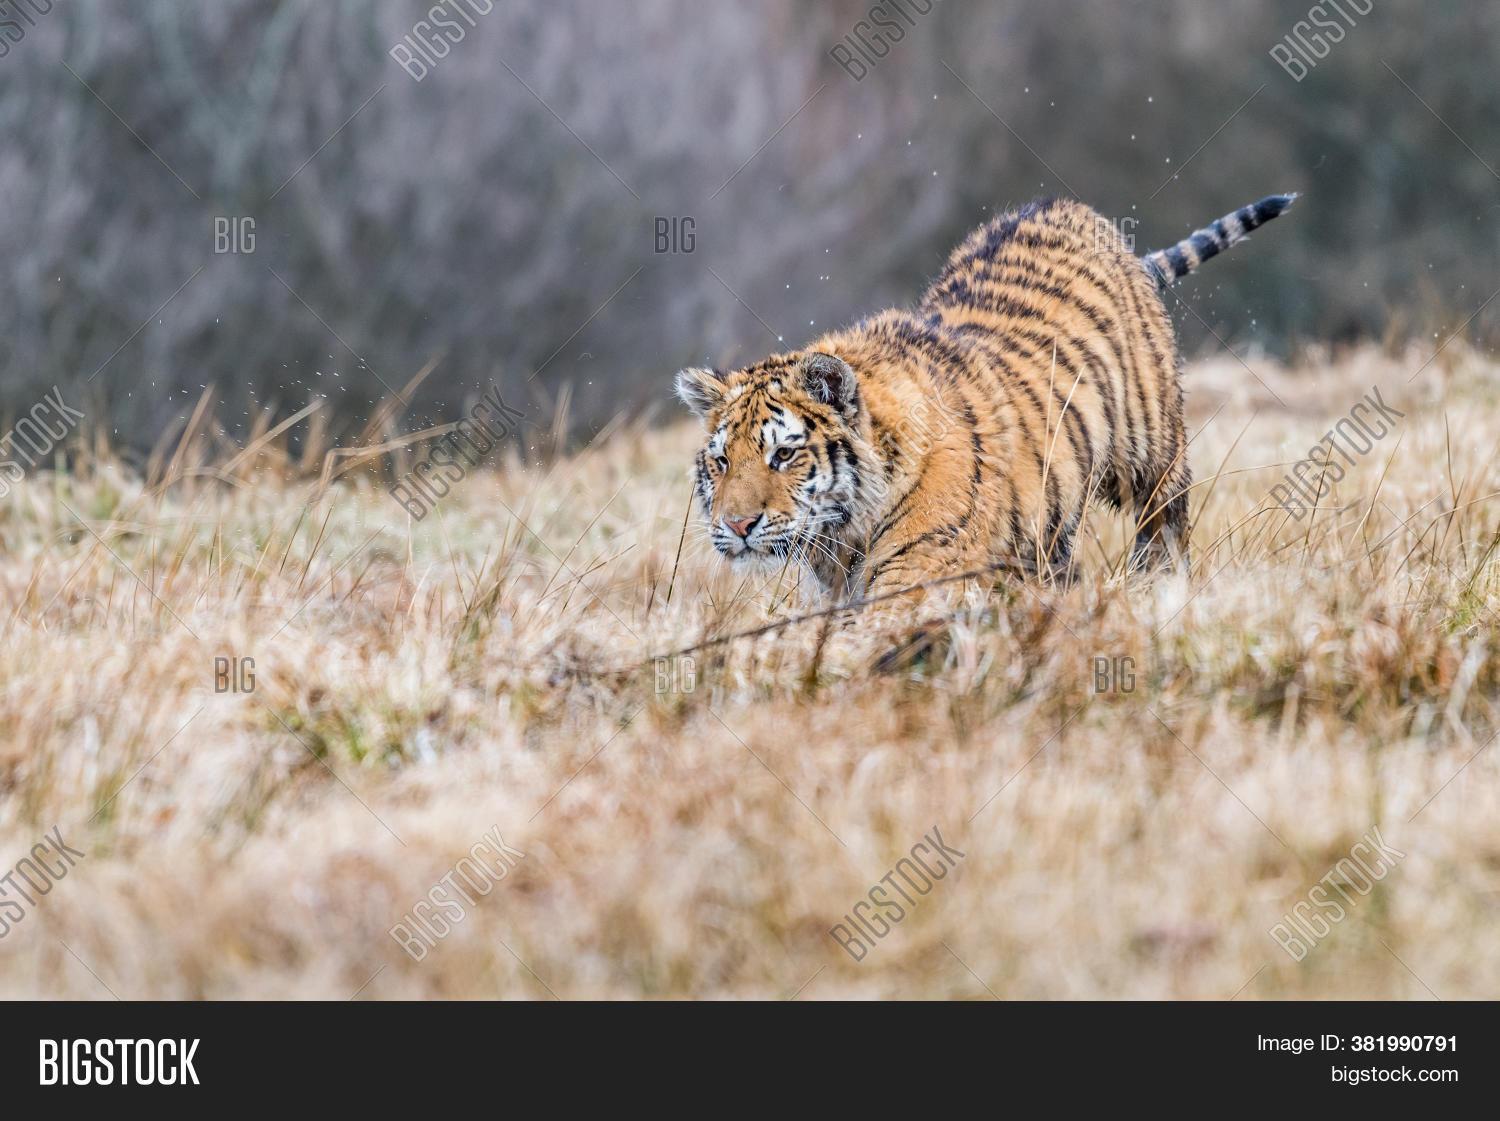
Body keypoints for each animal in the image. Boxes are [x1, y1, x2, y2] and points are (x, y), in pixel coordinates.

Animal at [676, 194, 1296, 612]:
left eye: (784, 455)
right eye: (721, 461)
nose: (737, 526)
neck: (842, 534)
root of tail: (1086, 217)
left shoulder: (916, 579)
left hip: (1148, 454)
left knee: (1167, 520)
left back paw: (1160, 585)